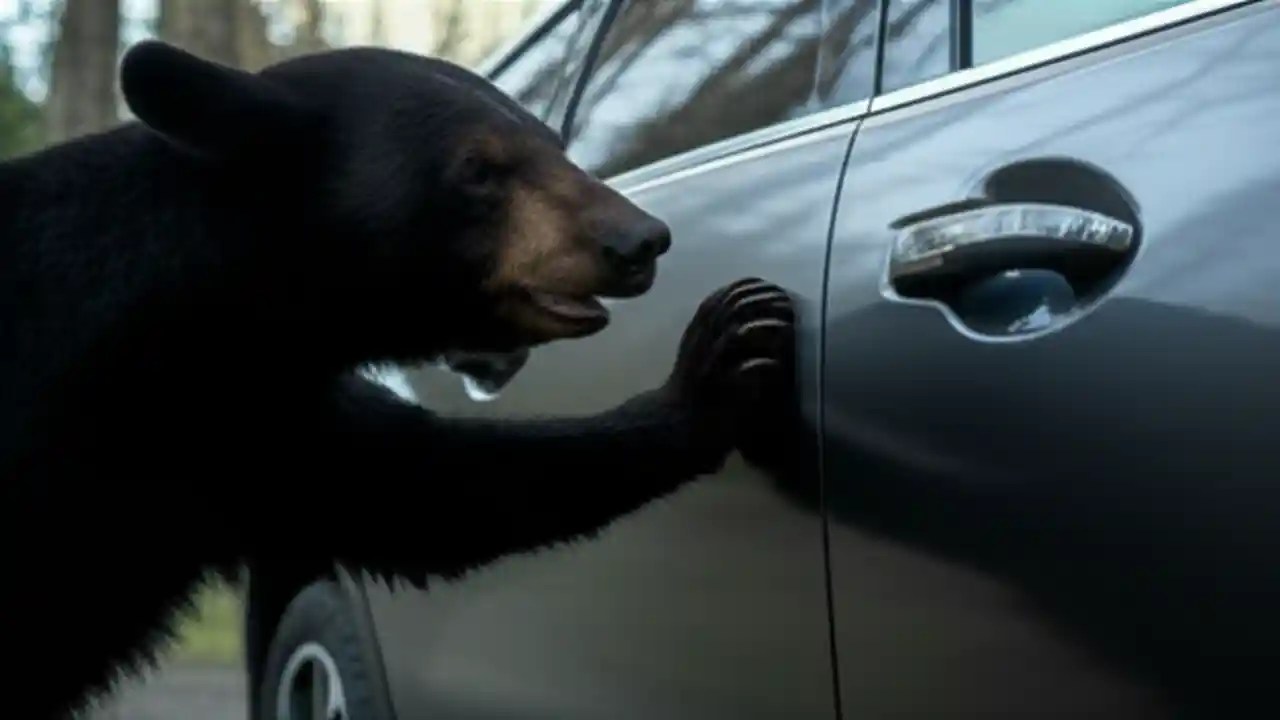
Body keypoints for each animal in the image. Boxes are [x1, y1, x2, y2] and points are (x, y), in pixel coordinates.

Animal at [0, 40, 797, 719]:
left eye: (555, 143)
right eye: (479, 168)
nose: (638, 240)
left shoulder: (252, 417)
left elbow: (415, 493)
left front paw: (715, 373)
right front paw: (721, 352)